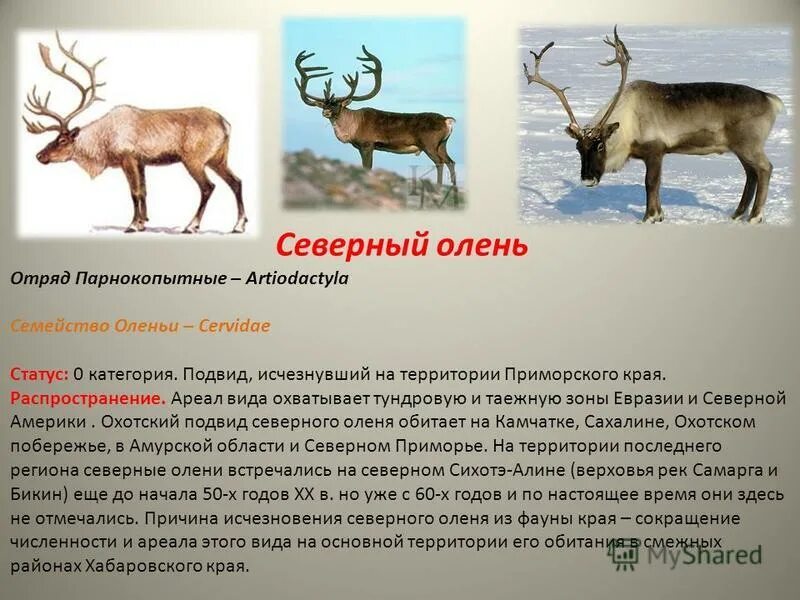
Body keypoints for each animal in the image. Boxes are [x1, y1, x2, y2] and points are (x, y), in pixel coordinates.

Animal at [23, 32, 247, 234]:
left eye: (61, 140)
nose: (39, 155)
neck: (102, 144)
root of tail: (226, 124)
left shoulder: (128, 158)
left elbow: (135, 192)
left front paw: (132, 225)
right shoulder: (141, 161)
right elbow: (145, 191)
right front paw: (142, 222)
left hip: (194, 159)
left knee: (208, 187)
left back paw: (192, 226)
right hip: (218, 158)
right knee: (236, 181)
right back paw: (238, 225)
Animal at [294, 46, 457, 187]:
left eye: (337, 104)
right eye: (324, 104)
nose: (326, 112)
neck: (353, 126)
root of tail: (447, 120)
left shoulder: (367, 145)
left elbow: (367, 167)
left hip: (429, 144)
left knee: (439, 162)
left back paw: (439, 187)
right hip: (442, 144)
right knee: (450, 162)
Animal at [523, 27, 785, 223]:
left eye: (600, 145)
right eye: (578, 148)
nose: (587, 180)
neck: (627, 126)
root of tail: (771, 99)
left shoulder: (656, 150)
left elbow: (651, 183)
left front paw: (650, 217)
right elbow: (655, 185)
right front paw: (658, 215)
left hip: (749, 144)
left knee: (765, 168)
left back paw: (755, 217)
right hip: (740, 147)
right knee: (751, 173)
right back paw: (737, 214)